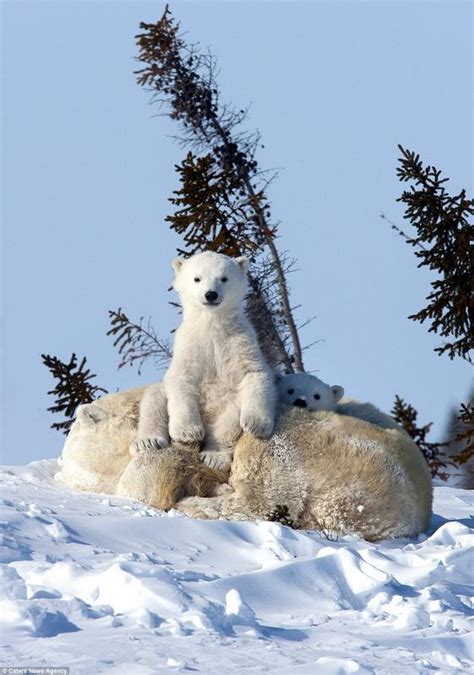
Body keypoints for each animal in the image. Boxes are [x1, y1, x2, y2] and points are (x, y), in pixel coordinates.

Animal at [134, 251, 277, 473]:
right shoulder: (190, 346)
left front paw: (256, 425)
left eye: (224, 278)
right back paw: (149, 440)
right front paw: (188, 432)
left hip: (229, 405)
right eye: (197, 278)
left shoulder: (241, 343)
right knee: (154, 399)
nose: (211, 294)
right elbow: (180, 379)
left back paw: (214, 456)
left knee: (227, 423)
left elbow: (254, 373)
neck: (212, 325)